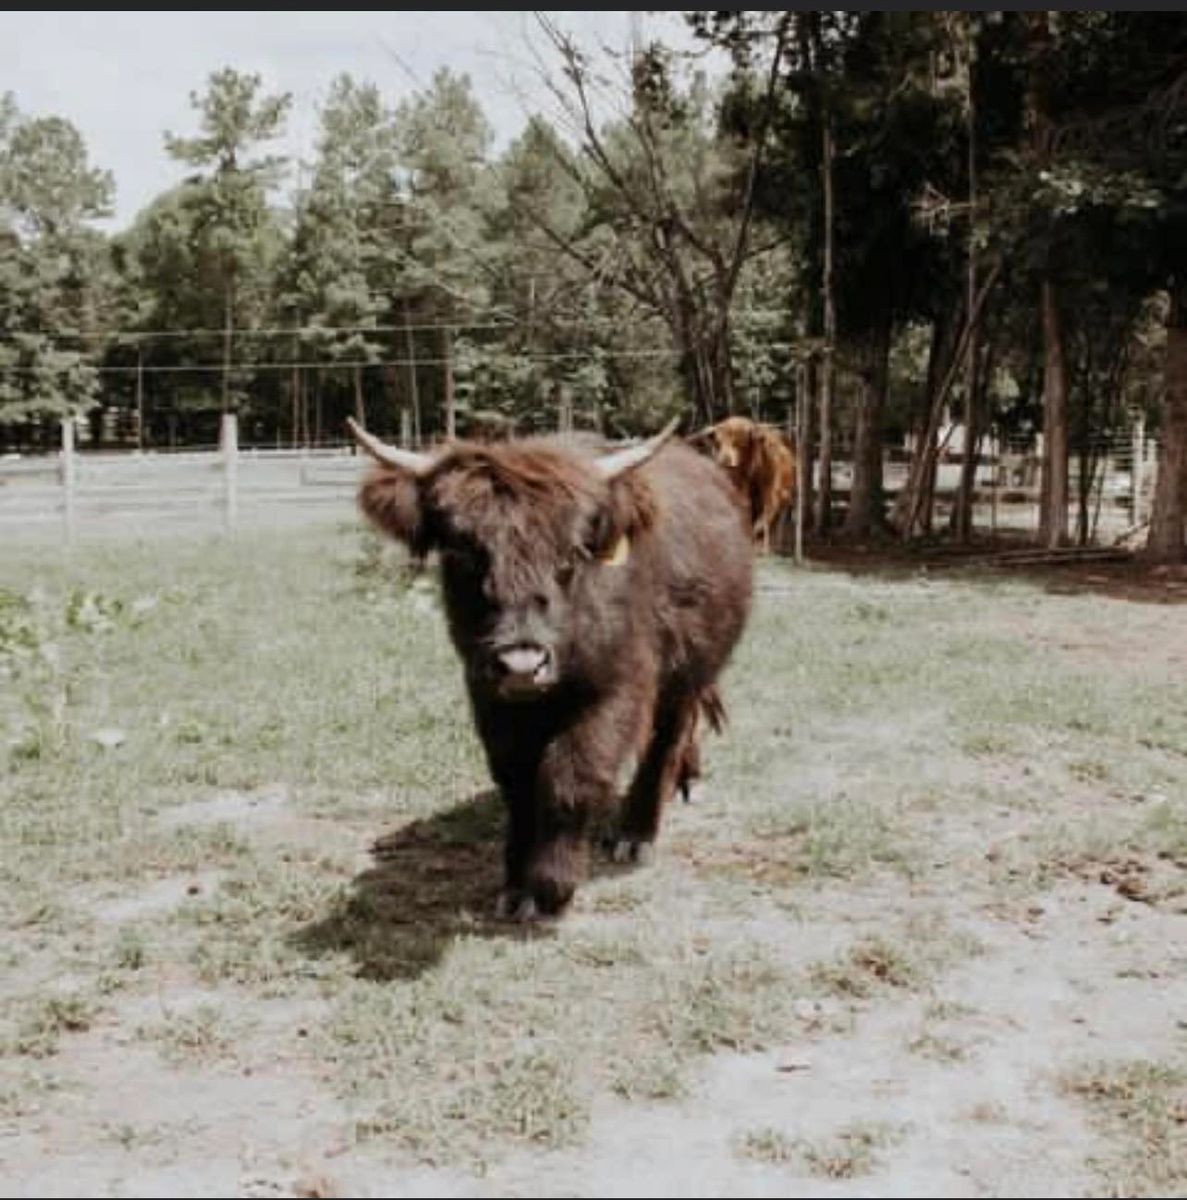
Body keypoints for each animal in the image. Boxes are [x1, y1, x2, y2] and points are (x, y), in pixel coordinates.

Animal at [348, 417, 754, 921]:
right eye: (462, 551)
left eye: (572, 551)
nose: (522, 664)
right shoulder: (488, 696)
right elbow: (517, 783)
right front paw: (517, 887)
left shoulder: (617, 689)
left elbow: (571, 776)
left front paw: (553, 885)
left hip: (688, 671)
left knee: (666, 738)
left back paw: (635, 834)